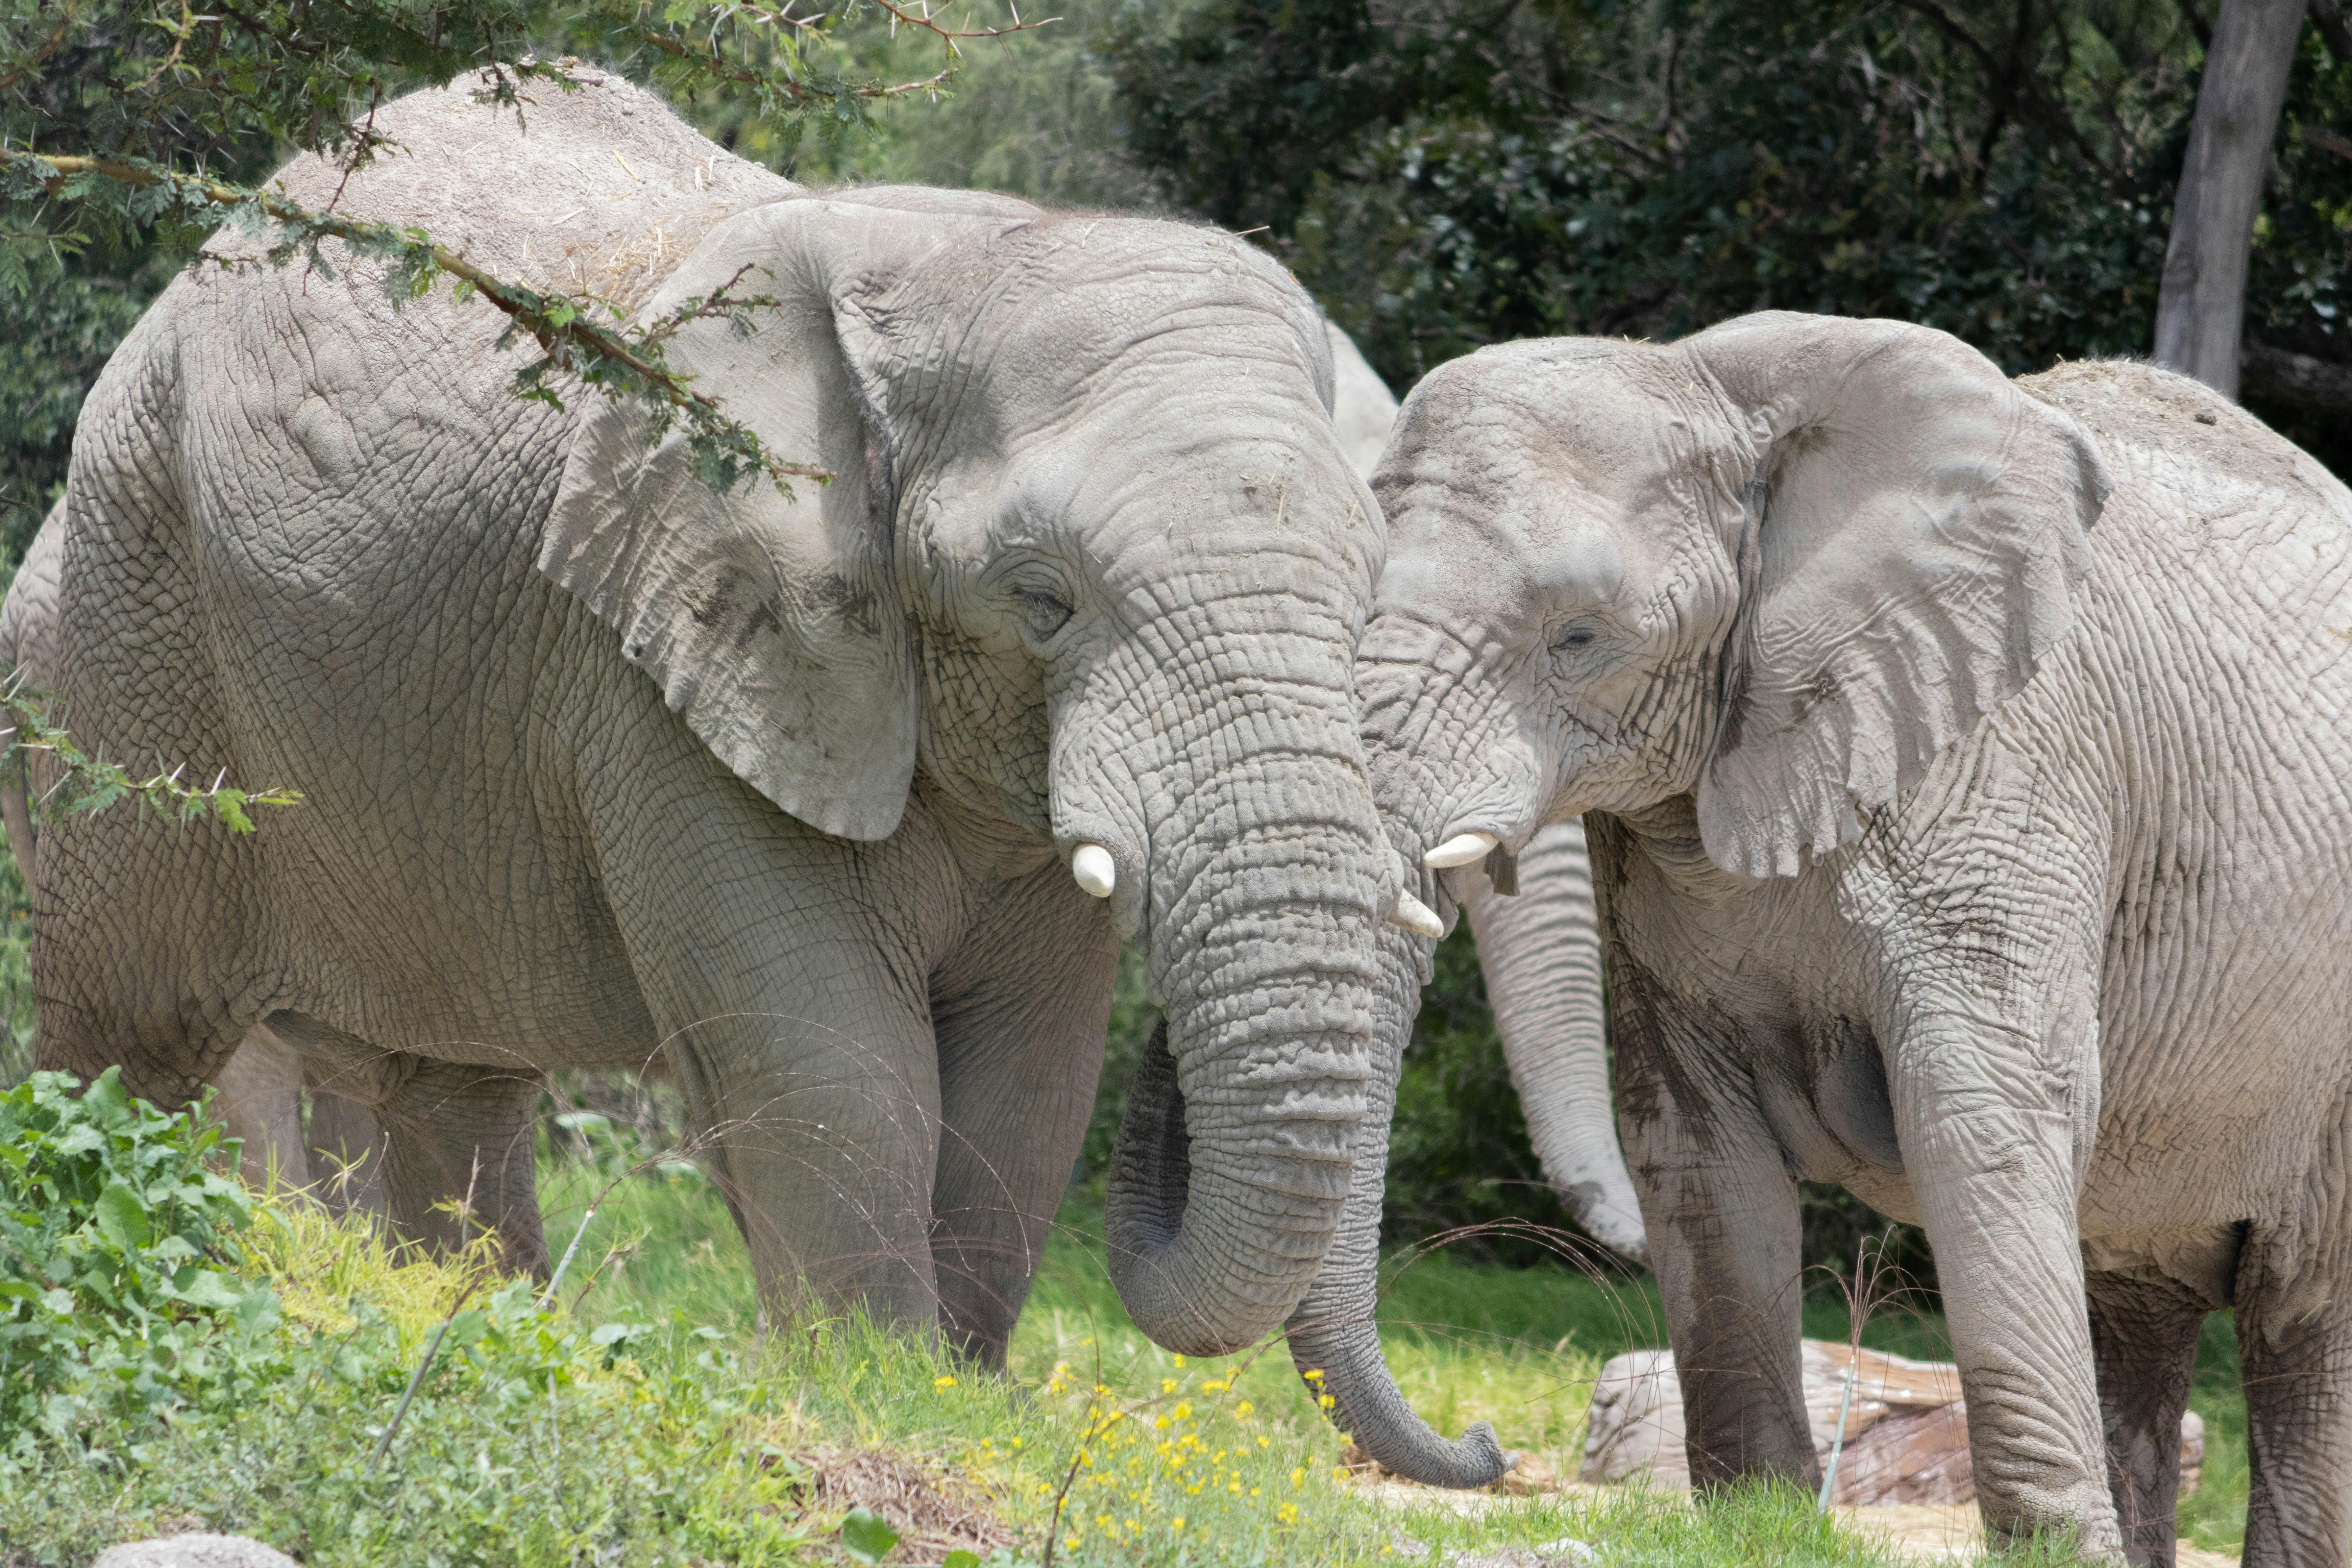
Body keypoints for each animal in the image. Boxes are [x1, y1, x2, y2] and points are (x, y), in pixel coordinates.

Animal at [35, 69, 1429, 1370]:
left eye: (1371, 588)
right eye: (1043, 598)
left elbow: (1026, 1085)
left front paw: (955, 1387)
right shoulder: (669, 661)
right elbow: (834, 1063)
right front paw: (877, 1381)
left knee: (452, 1073)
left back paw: (490, 1323)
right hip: (134, 596)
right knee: (127, 1018)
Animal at [1325, 313, 2352, 1563]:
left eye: (1579, 636)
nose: (1485, 1446)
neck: (1715, 388)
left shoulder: (2008, 781)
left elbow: (1979, 1127)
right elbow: (1694, 1143)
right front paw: (1761, 1520)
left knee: (2299, 1318)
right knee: (2134, 1309)